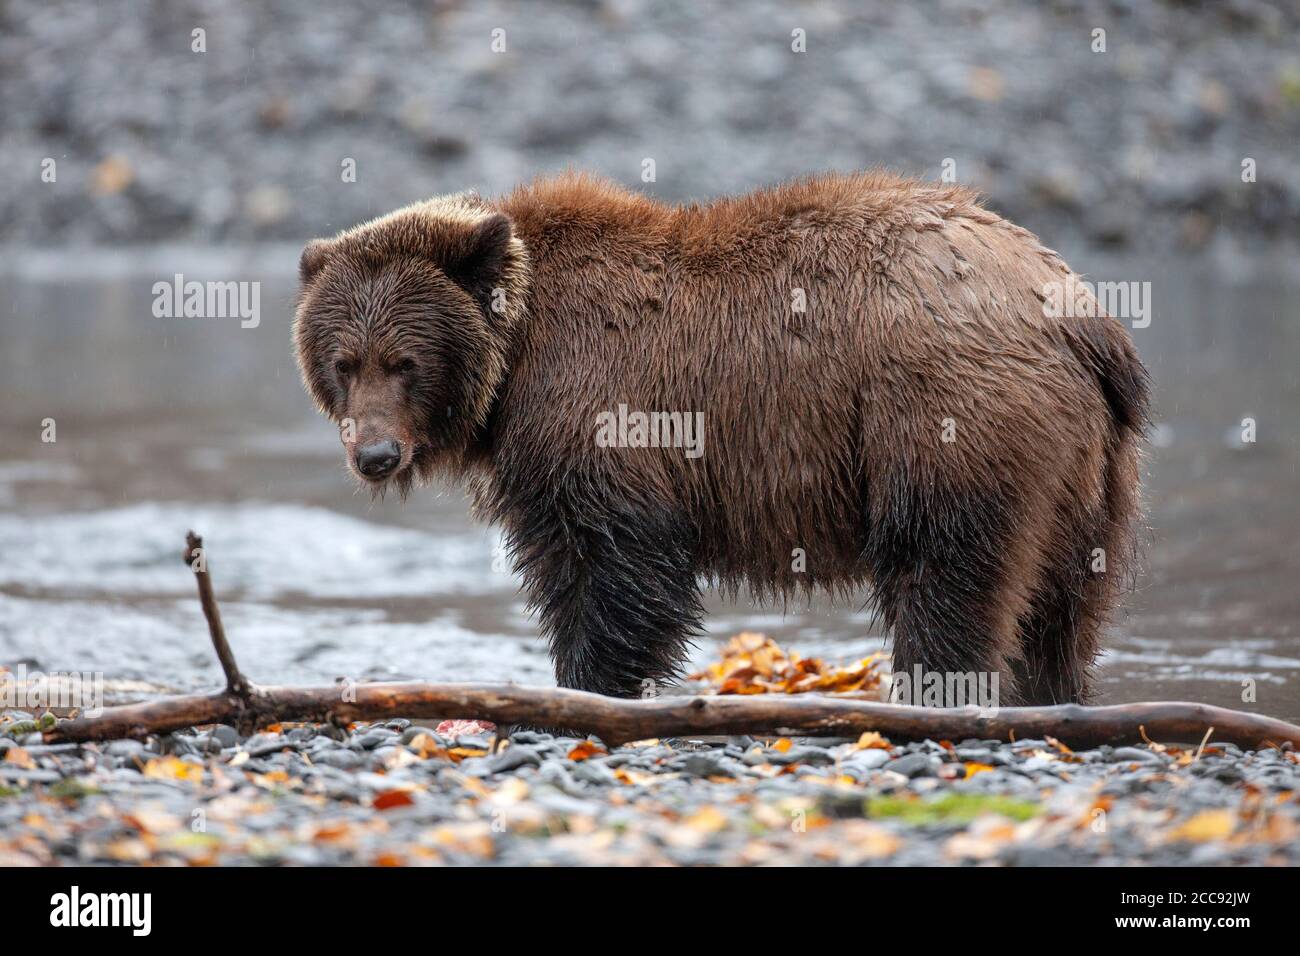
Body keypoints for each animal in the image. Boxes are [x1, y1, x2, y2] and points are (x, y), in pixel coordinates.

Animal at [293, 171, 1148, 707]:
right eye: (343, 361)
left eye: (404, 361)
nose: (375, 455)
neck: (518, 353)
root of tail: (1079, 311)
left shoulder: (598, 407)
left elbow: (611, 565)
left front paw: (590, 684)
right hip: (1090, 464)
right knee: (1068, 597)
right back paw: (1052, 694)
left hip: (945, 416)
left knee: (947, 564)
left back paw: (937, 693)